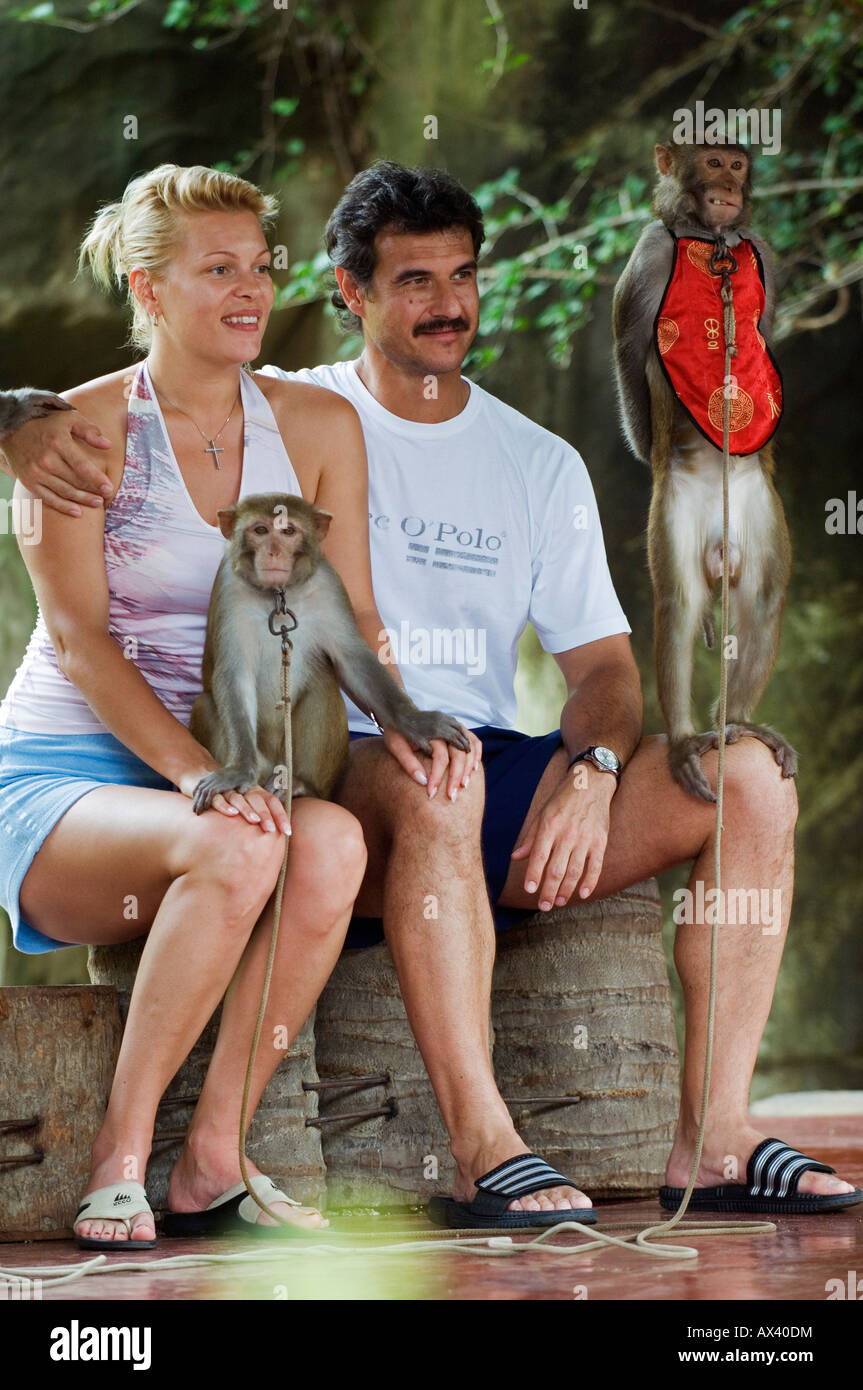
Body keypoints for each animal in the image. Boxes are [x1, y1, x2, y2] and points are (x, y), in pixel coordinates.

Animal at [189, 493, 472, 811]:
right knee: (203, 704)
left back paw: (303, 785)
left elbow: (352, 659)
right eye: (260, 530)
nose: (274, 553)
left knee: (323, 683)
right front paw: (238, 770)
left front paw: (417, 722)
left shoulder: (328, 583)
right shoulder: (228, 588)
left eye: (288, 531)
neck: (277, 595)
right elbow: (234, 676)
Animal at [612, 139, 796, 802]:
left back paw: (739, 722)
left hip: (756, 507)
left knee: (762, 594)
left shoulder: (760, 248)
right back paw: (687, 738)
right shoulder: (649, 251)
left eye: (736, 163)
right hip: (676, 513)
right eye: (712, 161)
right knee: (681, 601)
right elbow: (629, 354)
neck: (709, 241)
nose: (728, 188)